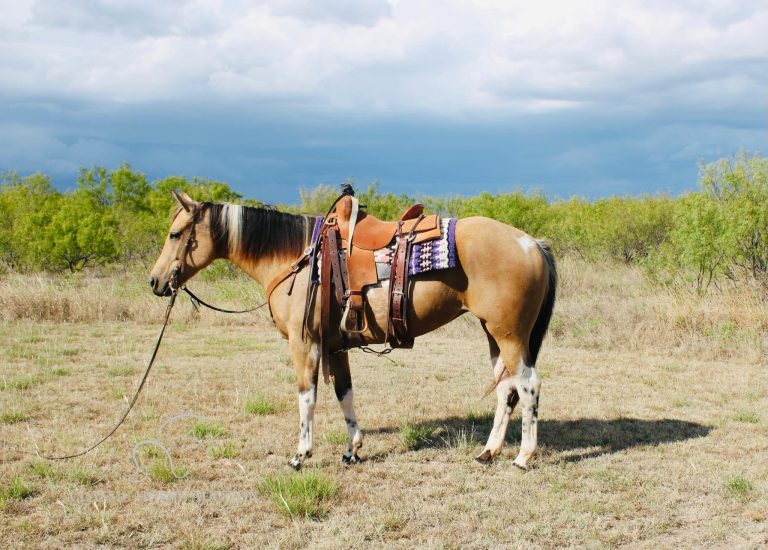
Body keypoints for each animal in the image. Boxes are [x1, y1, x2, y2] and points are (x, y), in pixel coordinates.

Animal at [149, 191, 556, 470]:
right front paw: (352, 450)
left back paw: (523, 456)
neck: (296, 258)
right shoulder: (336, 347)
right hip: (493, 334)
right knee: (505, 389)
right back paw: (489, 451)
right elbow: (344, 394)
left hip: (510, 335)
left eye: (174, 234)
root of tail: (531, 243)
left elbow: (307, 396)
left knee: (528, 386)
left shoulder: (305, 344)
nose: (155, 282)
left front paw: (301, 454)